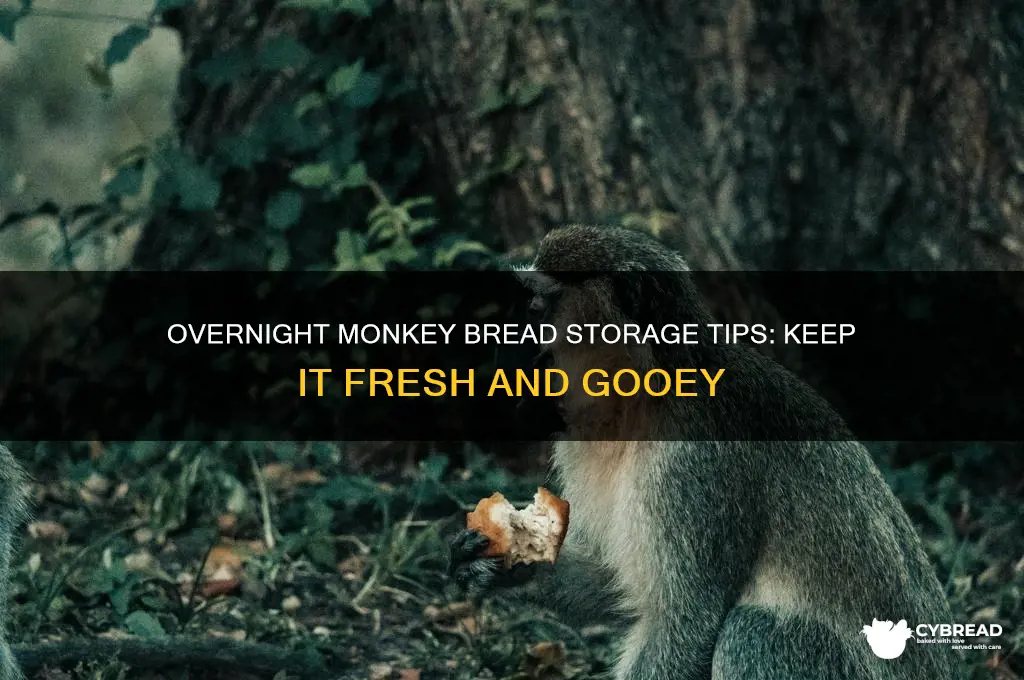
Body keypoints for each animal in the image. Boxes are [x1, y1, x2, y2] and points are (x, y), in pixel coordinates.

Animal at [449, 225, 960, 680]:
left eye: (539, 306)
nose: (511, 355)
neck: (648, 397)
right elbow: (617, 584)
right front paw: (502, 563)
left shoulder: (694, 467)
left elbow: (686, 623)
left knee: (753, 632)